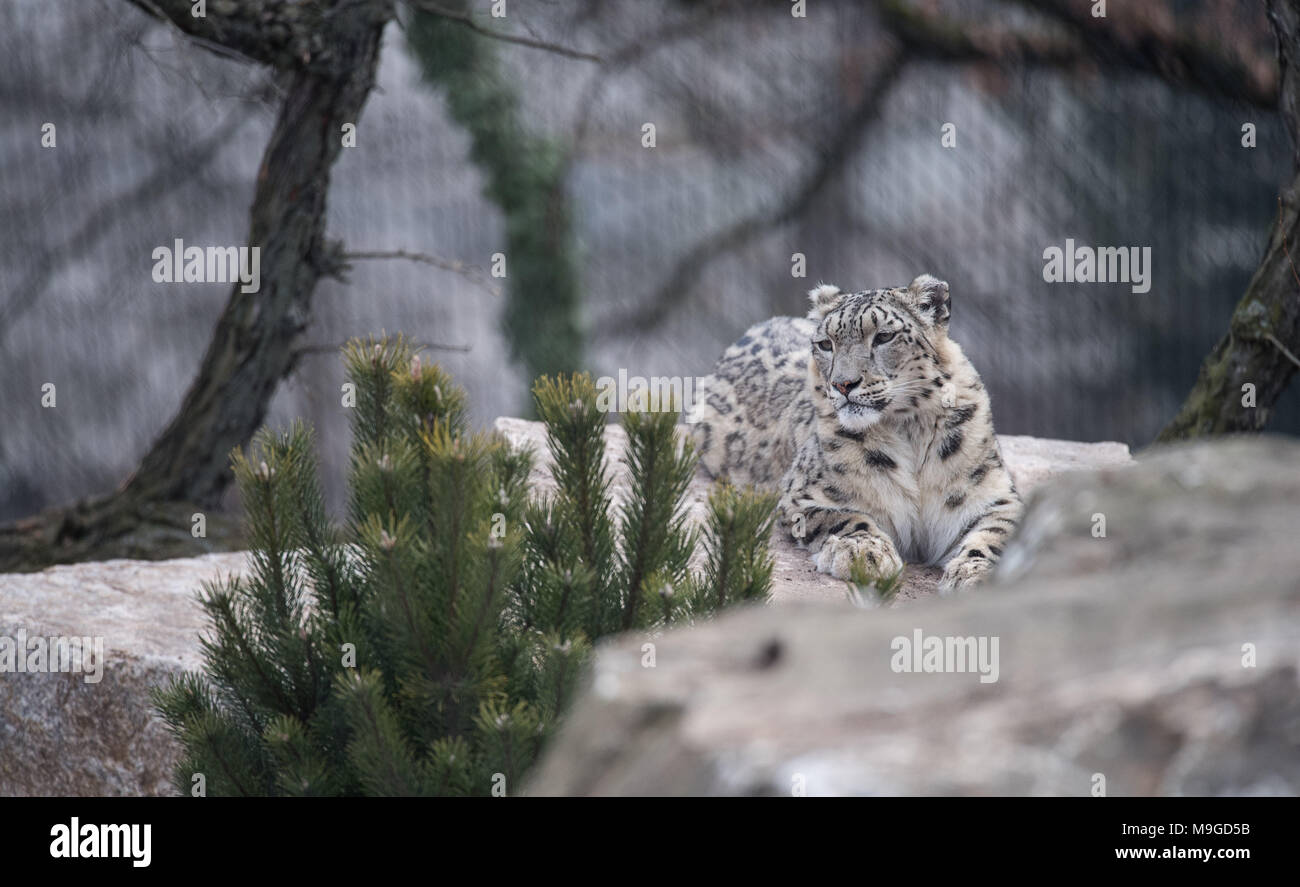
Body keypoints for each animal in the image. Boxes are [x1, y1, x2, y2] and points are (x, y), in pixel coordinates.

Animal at [689, 274, 1022, 592]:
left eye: (884, 336)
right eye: (825, 344)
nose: (843, 384)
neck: (909, 431)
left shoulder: (989, 495)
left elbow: (997, 532)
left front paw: (974, 572)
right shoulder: (801, 495)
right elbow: (843, 516)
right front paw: (864, 552)